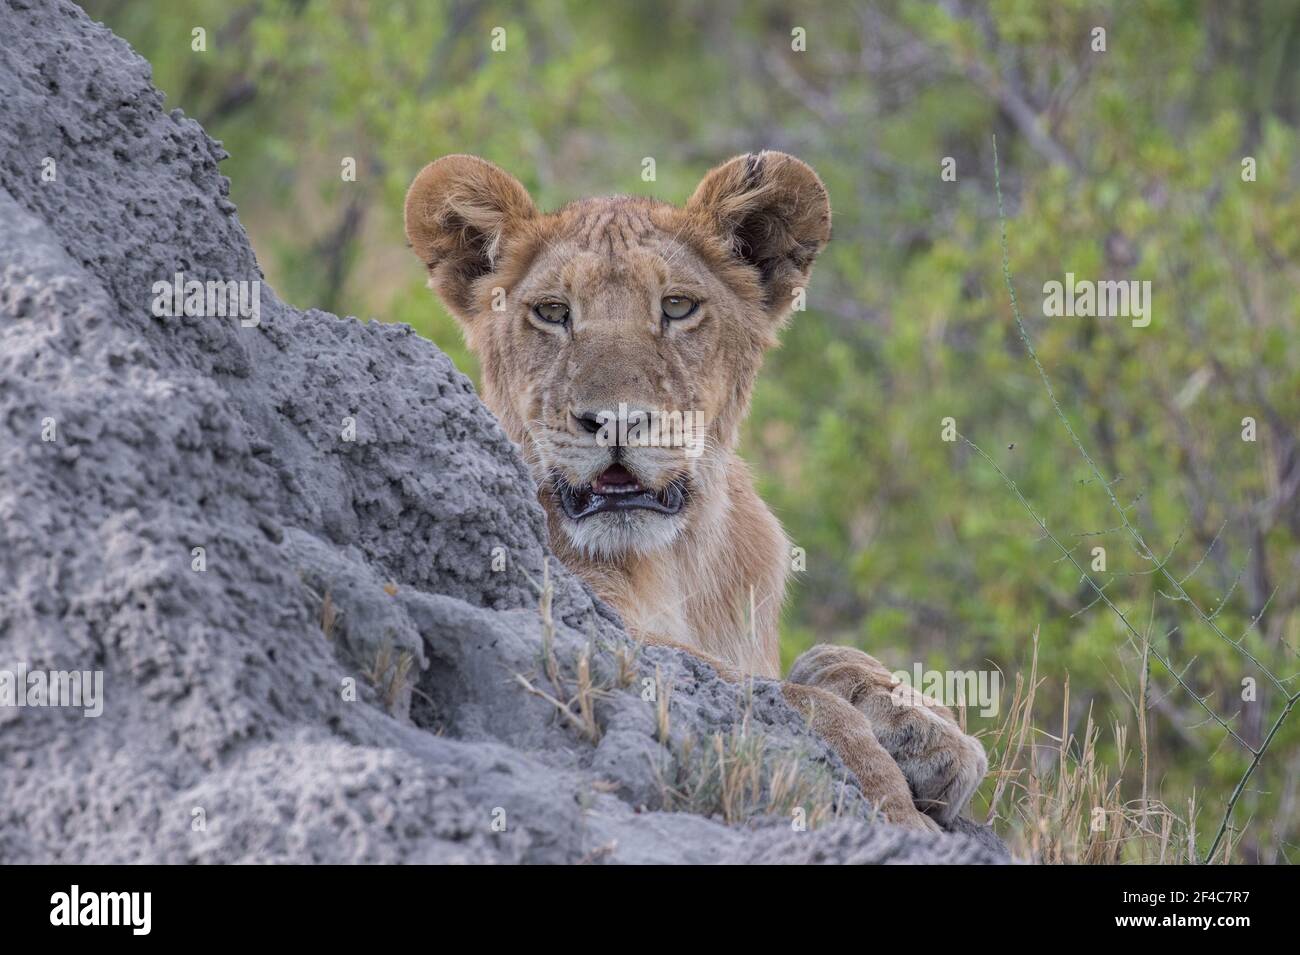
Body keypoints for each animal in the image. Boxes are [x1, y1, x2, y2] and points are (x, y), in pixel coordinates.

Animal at [405, 151, 986, 831]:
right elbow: (783, 695)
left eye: (678, 307)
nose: (617, 420)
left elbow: (819, 659)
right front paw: (890, 804)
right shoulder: (595, 622)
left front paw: (926, 730)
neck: (676, 558)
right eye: (552, 312)